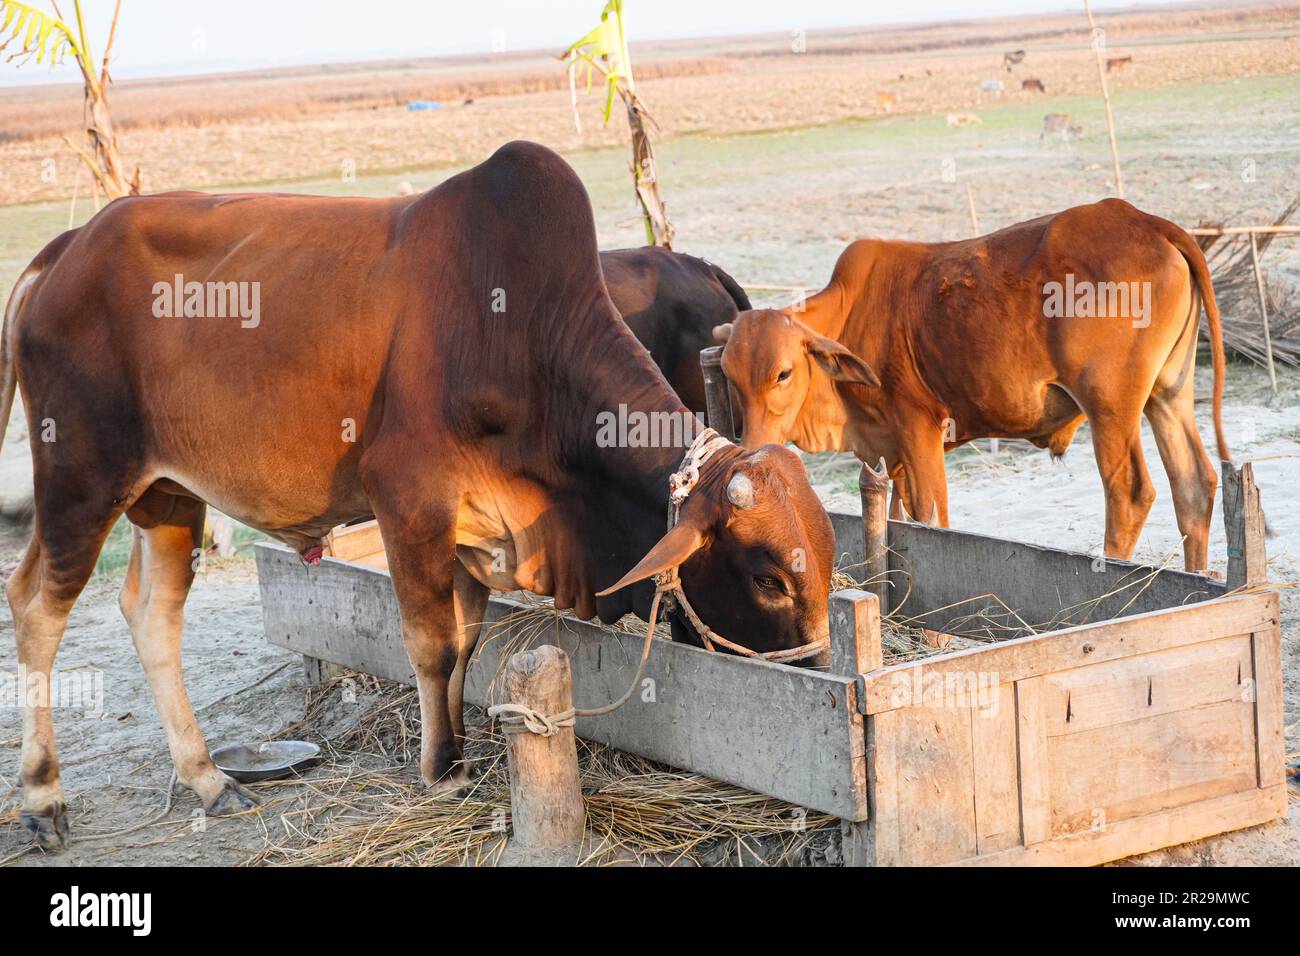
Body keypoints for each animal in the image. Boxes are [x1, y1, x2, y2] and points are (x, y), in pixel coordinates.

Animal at [714, 199, 1231, 574]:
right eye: (729, 374)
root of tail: (1151, 223)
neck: (853, 312)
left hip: (1110, 405)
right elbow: (898, 519)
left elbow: (932, 518)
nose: (752, 446)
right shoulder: (892, 453)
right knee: (1194, 485)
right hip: (1168, 393)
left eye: (783, 373)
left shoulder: (919, 428)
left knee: (1130, 493)